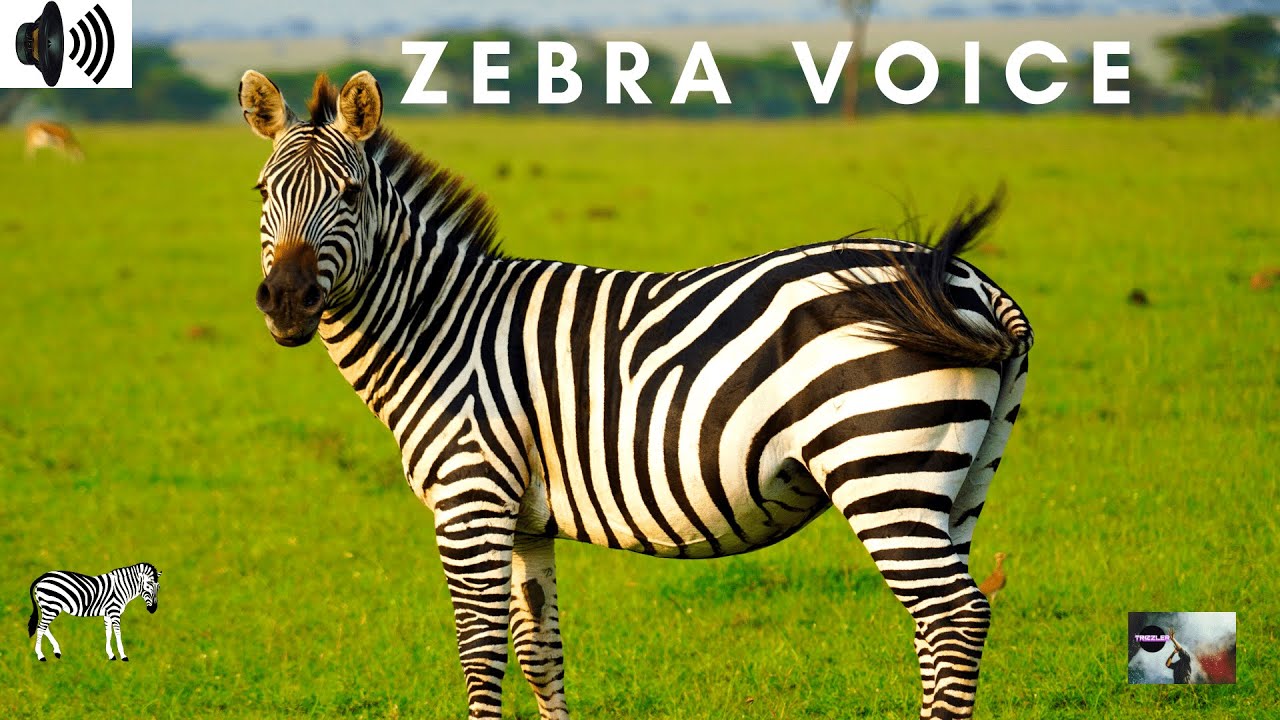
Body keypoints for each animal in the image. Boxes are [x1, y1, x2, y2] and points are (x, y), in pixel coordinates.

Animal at [28, 563, 161, 661]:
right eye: (148, 586)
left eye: (158, 587)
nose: (153, 609)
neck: (121, 587)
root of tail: (42, 577)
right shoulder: (114, 612)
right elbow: (118, 633)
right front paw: (123, 655)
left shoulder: (108, 614)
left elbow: (108, 633)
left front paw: (111, 655)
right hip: (51, 606)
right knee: (41, 628)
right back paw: (41, 655)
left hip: (47, 607)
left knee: (43, 627)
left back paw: (56, 651)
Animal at [238, 69, 1033, 720]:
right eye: (263, 193)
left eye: (349, 195)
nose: (286, 302)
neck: (442, 325)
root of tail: (964, 279)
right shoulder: (524, 519)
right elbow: (540, 653)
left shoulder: (471, 503)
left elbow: (480, 655)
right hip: (958, 481)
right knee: (944, 625)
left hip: (883, 465)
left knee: (954, 617)